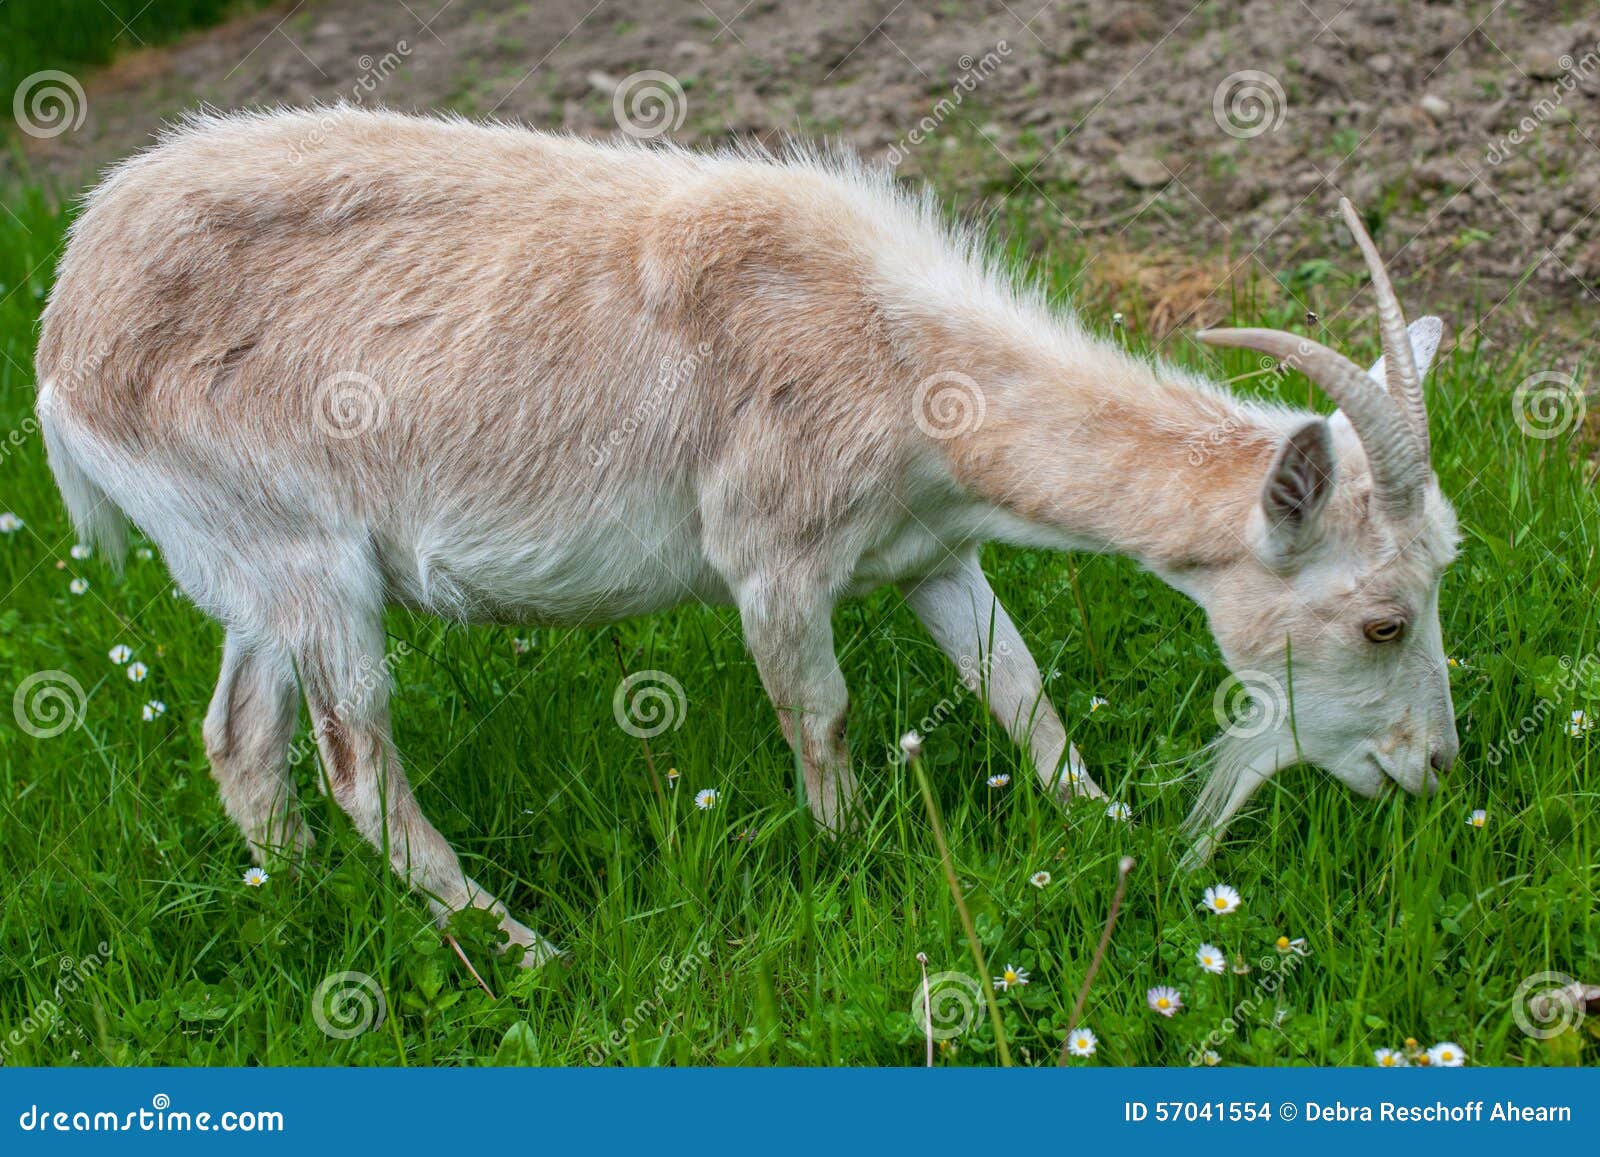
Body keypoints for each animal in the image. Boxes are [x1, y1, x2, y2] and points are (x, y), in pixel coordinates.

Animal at [35, 108, 1458, 962]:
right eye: (1384, 616)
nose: (1435, 771)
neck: (900, 350)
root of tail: (60, 337)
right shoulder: (770, 558)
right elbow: (817, 711)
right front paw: (851, 867)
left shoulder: (930, 549)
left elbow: (1016, 684)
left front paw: (1101, 824)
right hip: (305, 556)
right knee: (354, 759)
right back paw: (524, 950)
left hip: (248, 572)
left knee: (241, 739)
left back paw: (297, 903)